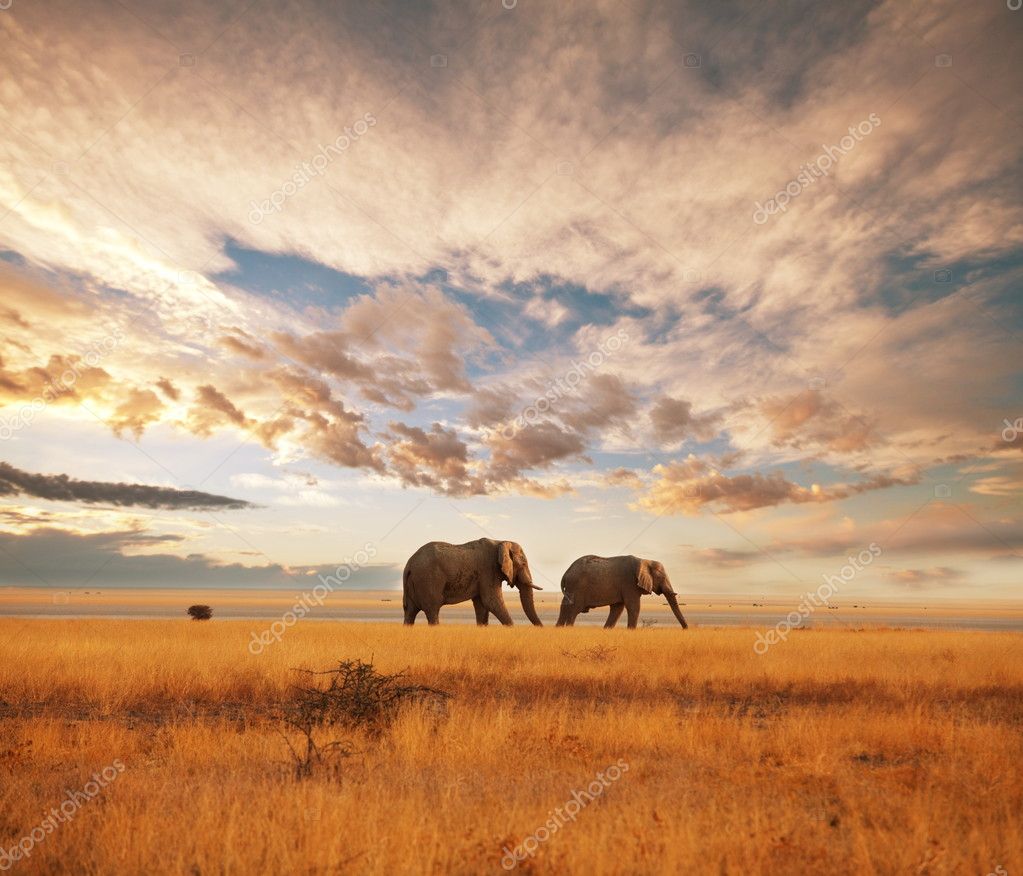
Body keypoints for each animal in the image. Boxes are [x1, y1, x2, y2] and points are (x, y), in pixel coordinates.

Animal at [402, 538, 543, 626]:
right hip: (428, 580)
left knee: (410, 612)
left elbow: (482, 605)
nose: (541, 628)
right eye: (523, 564)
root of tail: (409, 564)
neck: (500, 542)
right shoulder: (488, 570)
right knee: (432, 610)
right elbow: (492, 601)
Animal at [556, 555, 688, 629]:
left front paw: (607, 630)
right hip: (577, 588)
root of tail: (566, 573)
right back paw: (569, 629)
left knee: (564, 606)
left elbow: (617, 609)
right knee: (574, 609)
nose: (685, 629)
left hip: (571, 588)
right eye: (661, 577)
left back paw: (558, 628)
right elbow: (633, 606)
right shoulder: (629, 583)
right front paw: (631, 631)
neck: (645, 560)